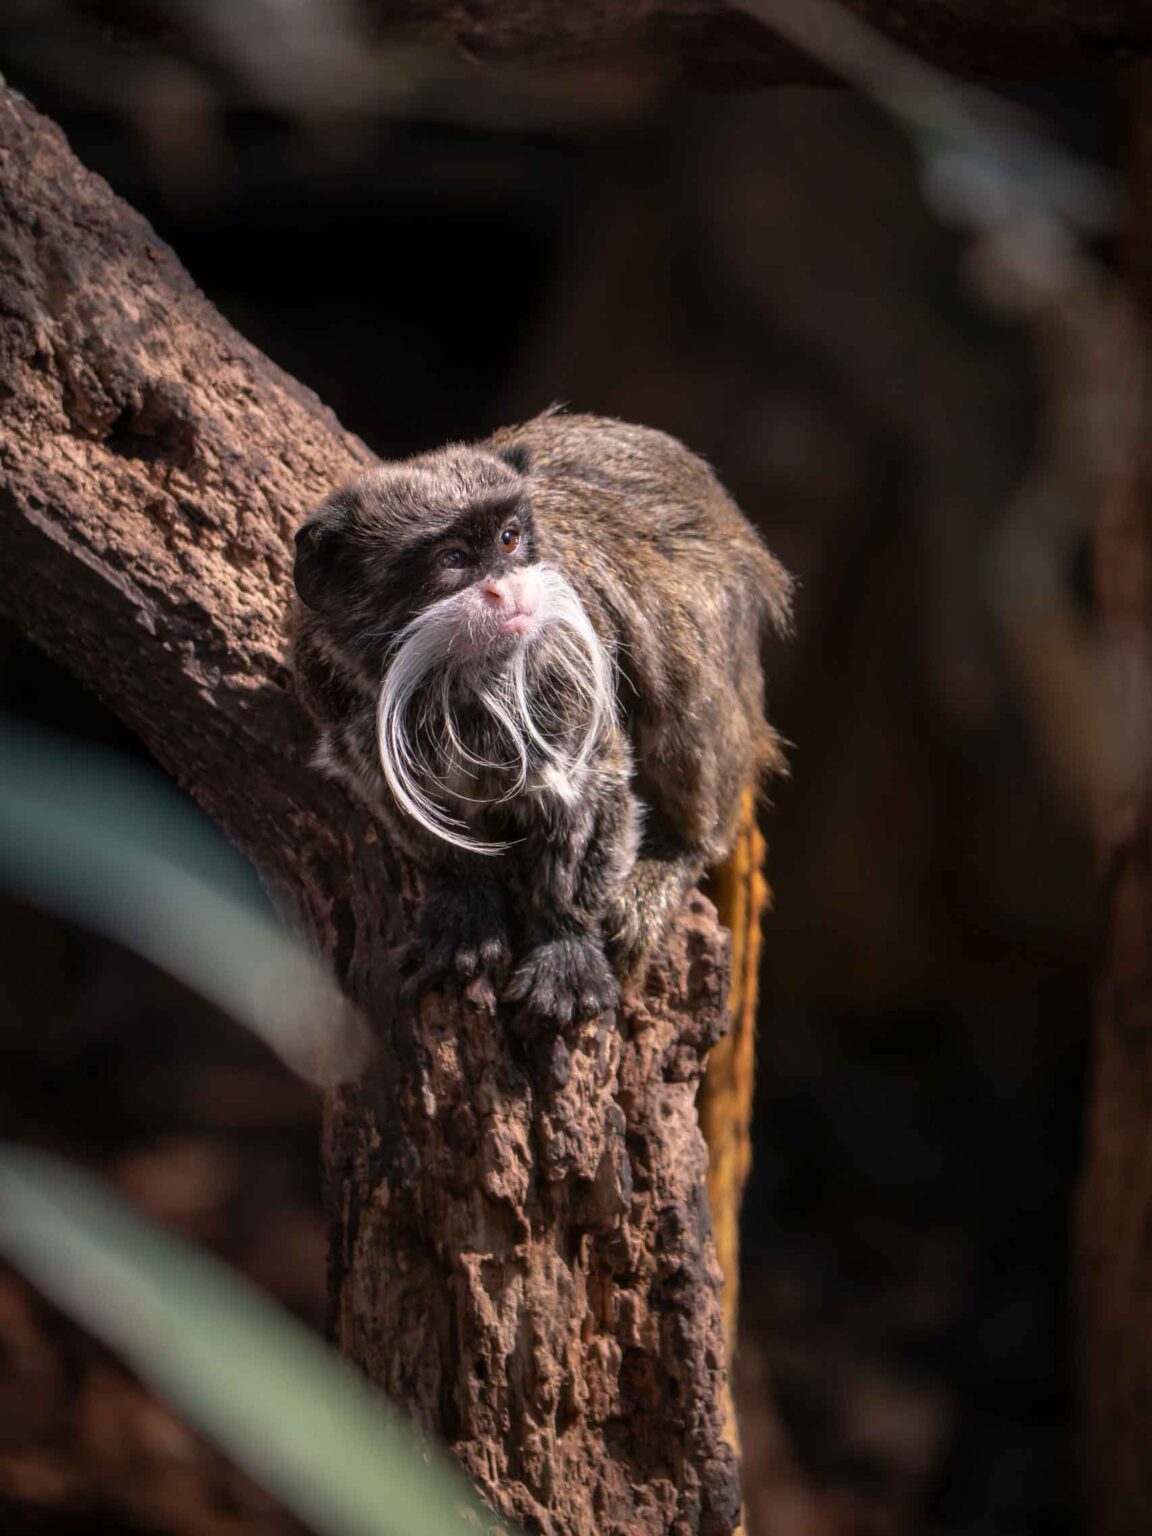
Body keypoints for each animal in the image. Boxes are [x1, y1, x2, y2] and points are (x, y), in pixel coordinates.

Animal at [290, 410, 792, 1029]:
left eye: (509, 538)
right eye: (454, 560)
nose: (508, 586)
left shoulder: (562, 662)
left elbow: (592, 785)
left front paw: (565, 942)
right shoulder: (335, 695)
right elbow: (403, 805)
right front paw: (467, 898)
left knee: (683, 677)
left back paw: (680, 850)